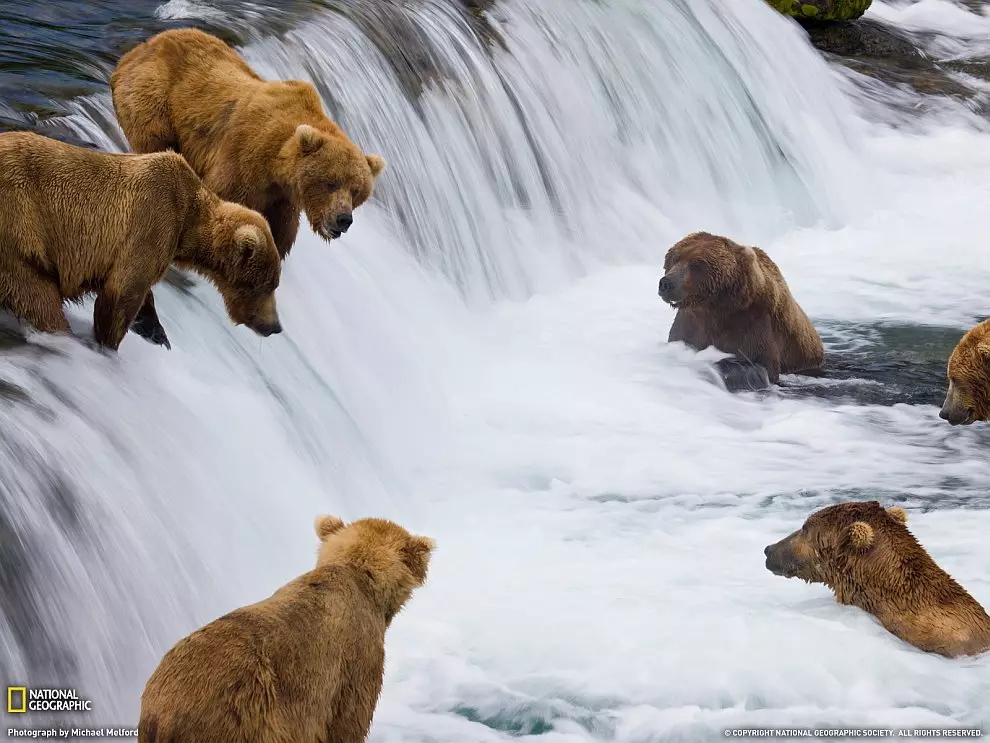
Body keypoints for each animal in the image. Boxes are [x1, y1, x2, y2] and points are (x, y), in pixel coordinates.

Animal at [0, 132, 282, 352]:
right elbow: (122, 291)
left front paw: (157, 333)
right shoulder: (153, 220)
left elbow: (141, 294)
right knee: (38, 298)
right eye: (267, 285)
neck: (188, 223)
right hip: (19, 230)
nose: (275, 326)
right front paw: (109, 344)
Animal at [660, 232, 828, 390]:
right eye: (675, 258)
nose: (666, 283)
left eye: (697, 264)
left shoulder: (753, 323)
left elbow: (760, 365)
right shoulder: (690, 324)